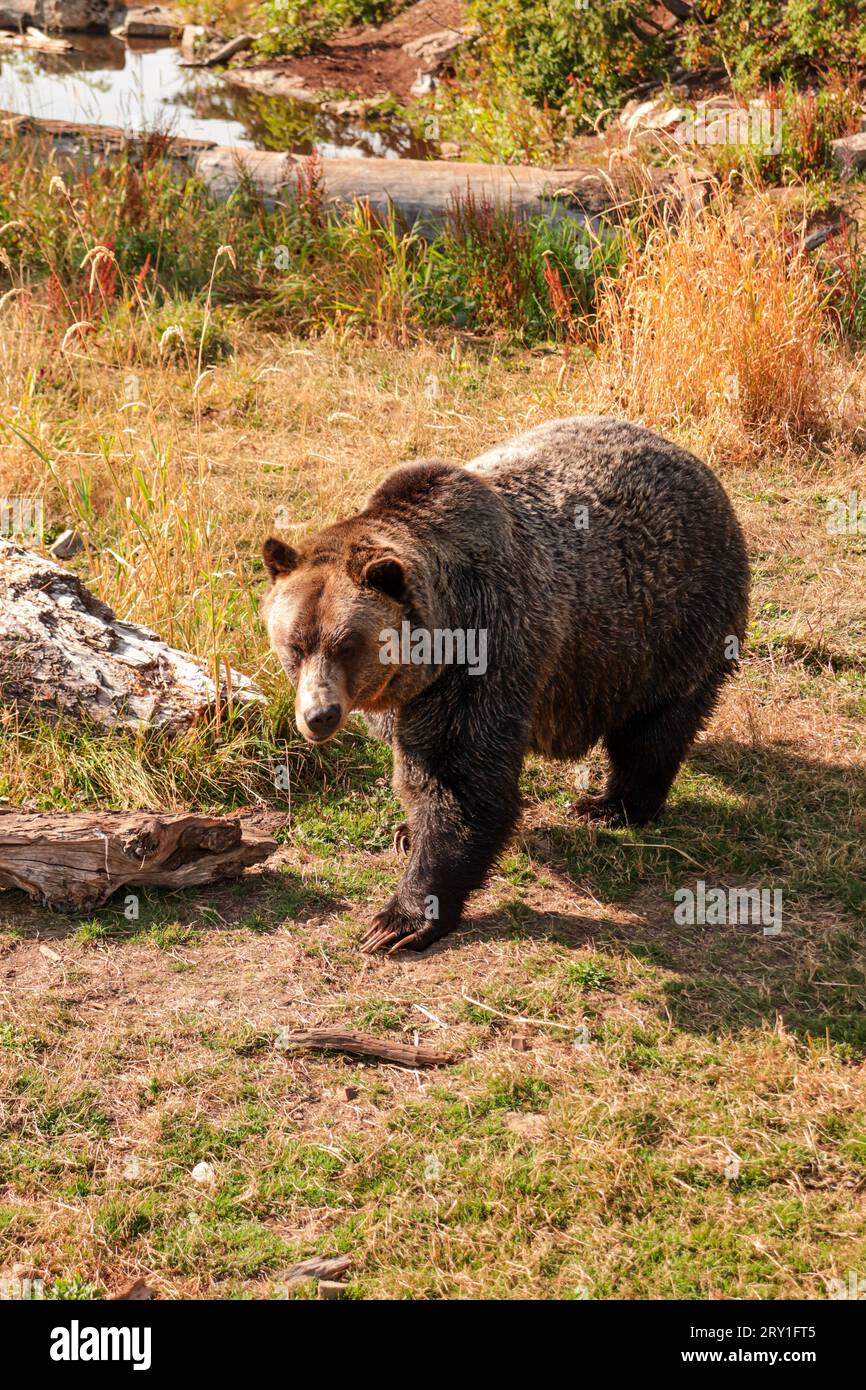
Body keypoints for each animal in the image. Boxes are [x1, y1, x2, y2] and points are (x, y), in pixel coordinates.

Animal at [261, 415, 749, 955]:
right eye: (295, 644)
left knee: (654, 727)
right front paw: (407, 830)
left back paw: (610, 806)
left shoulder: (485, 648)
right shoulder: (411, 692)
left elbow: (460, 777)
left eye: (347, 644)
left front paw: (398, 919)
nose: (319, 715)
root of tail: (693, 463)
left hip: (669, 624)